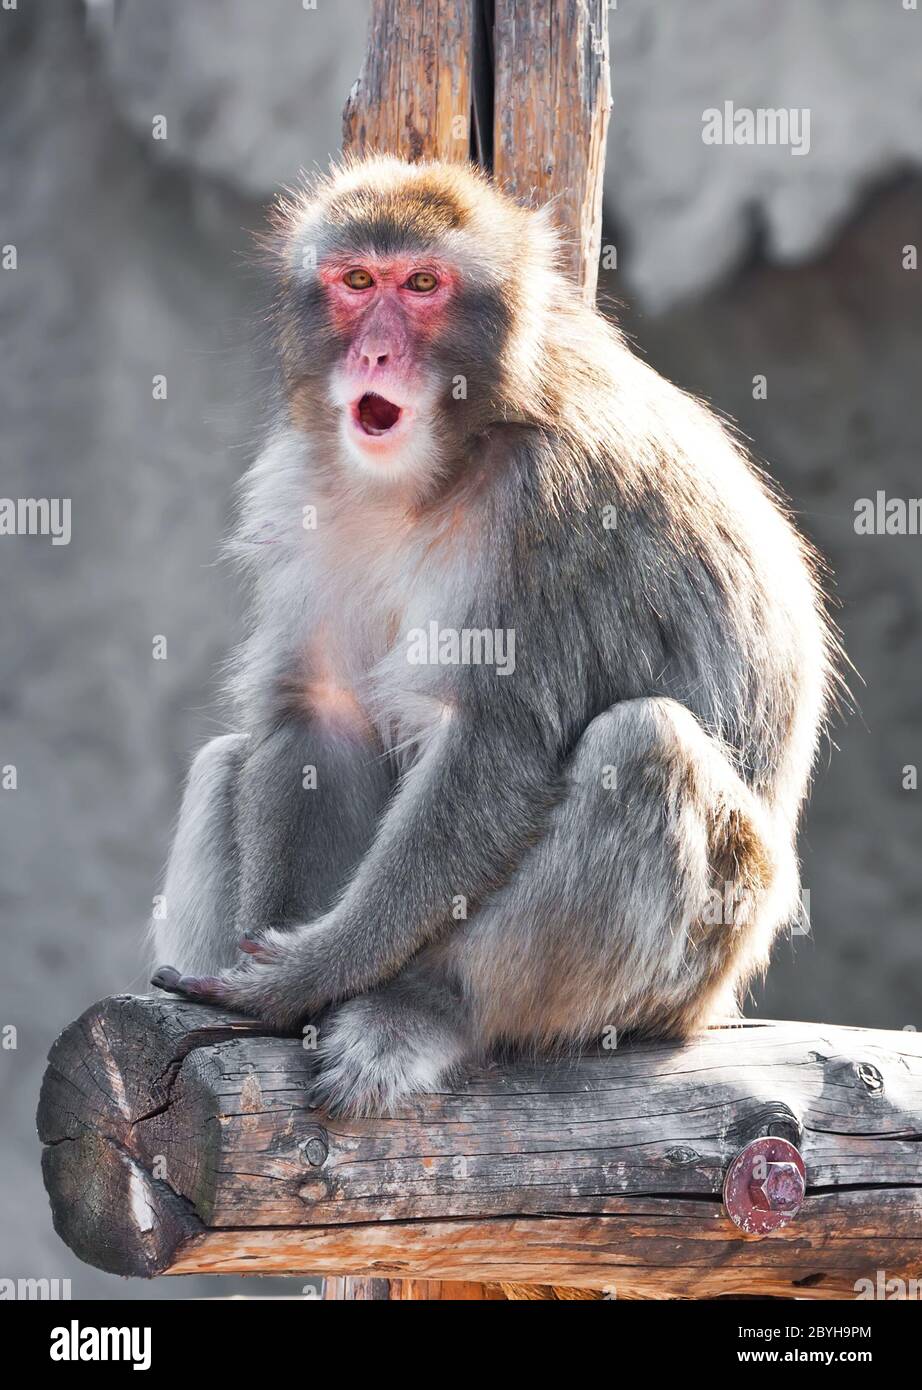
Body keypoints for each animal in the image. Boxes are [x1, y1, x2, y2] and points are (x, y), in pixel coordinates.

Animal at [152, 155, 837, 1118]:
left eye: (423, 285)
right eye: (357, 283)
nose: (375, 354)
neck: (446, 463)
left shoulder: (557, 505)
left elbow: (495, 750)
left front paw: (303, 977)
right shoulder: (302, 489)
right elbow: (319, 717)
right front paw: (272, 982)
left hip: (698, 967)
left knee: (644, 746)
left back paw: (432, 1009)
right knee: (227, 759)